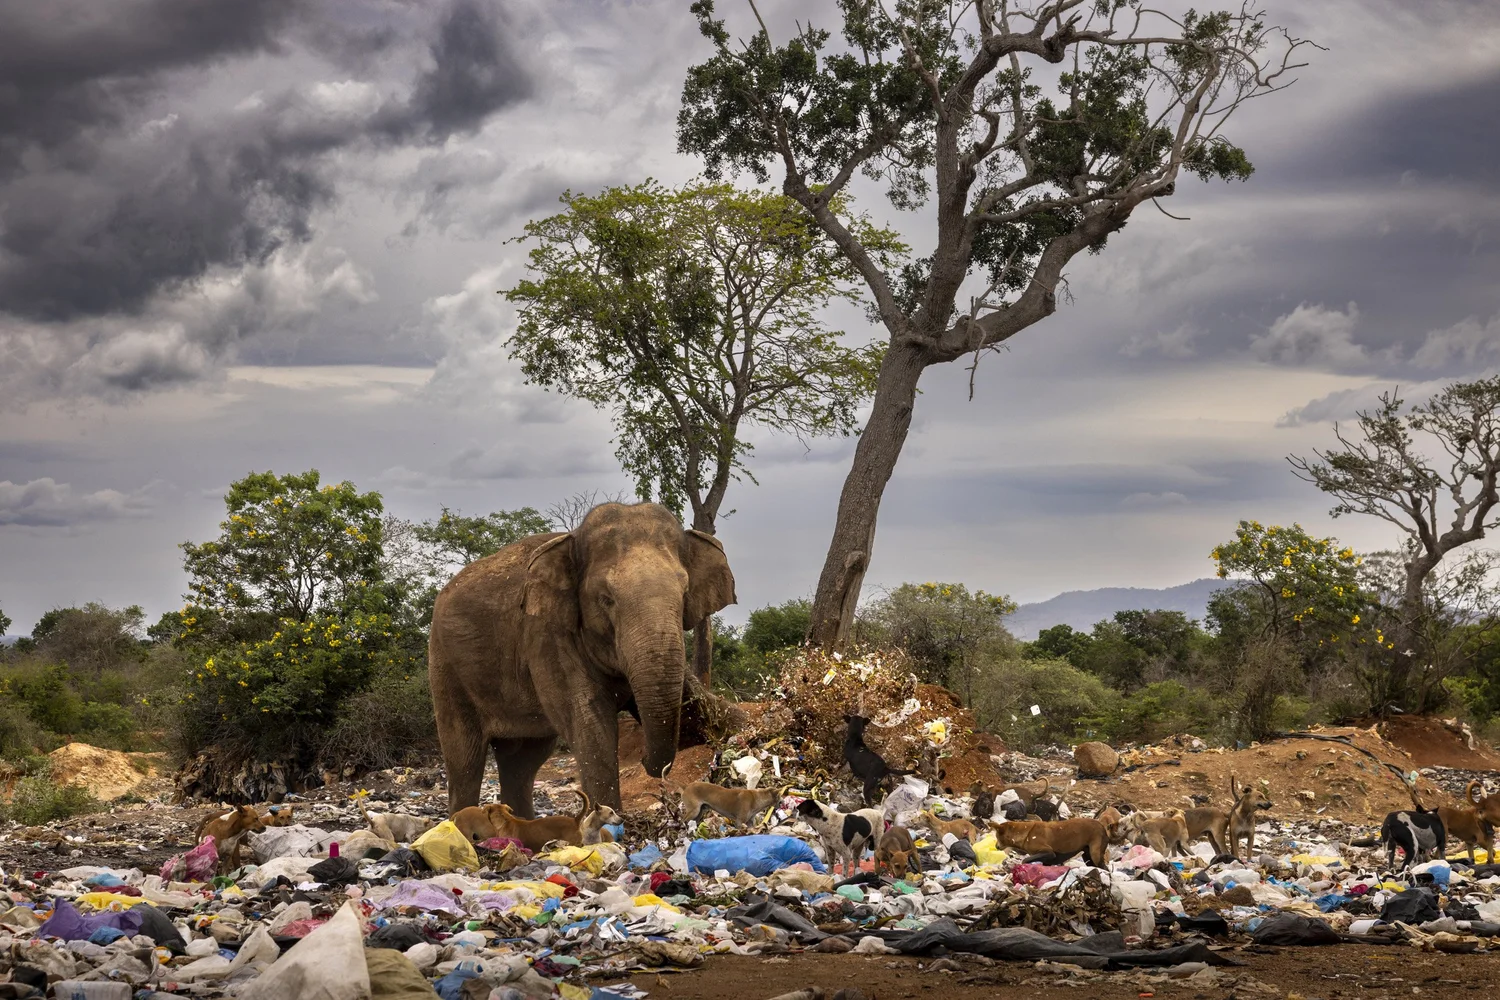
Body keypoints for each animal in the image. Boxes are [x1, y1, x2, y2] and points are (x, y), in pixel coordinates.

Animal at [428, 502, 736, 817]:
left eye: (685, 594)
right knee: (465, 759)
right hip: (445, 668)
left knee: (523, 760)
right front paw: (608, 820)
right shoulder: (547, 635)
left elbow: (695, 708)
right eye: (606, 599)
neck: (572, 538)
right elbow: (592, 728)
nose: (645, 762)